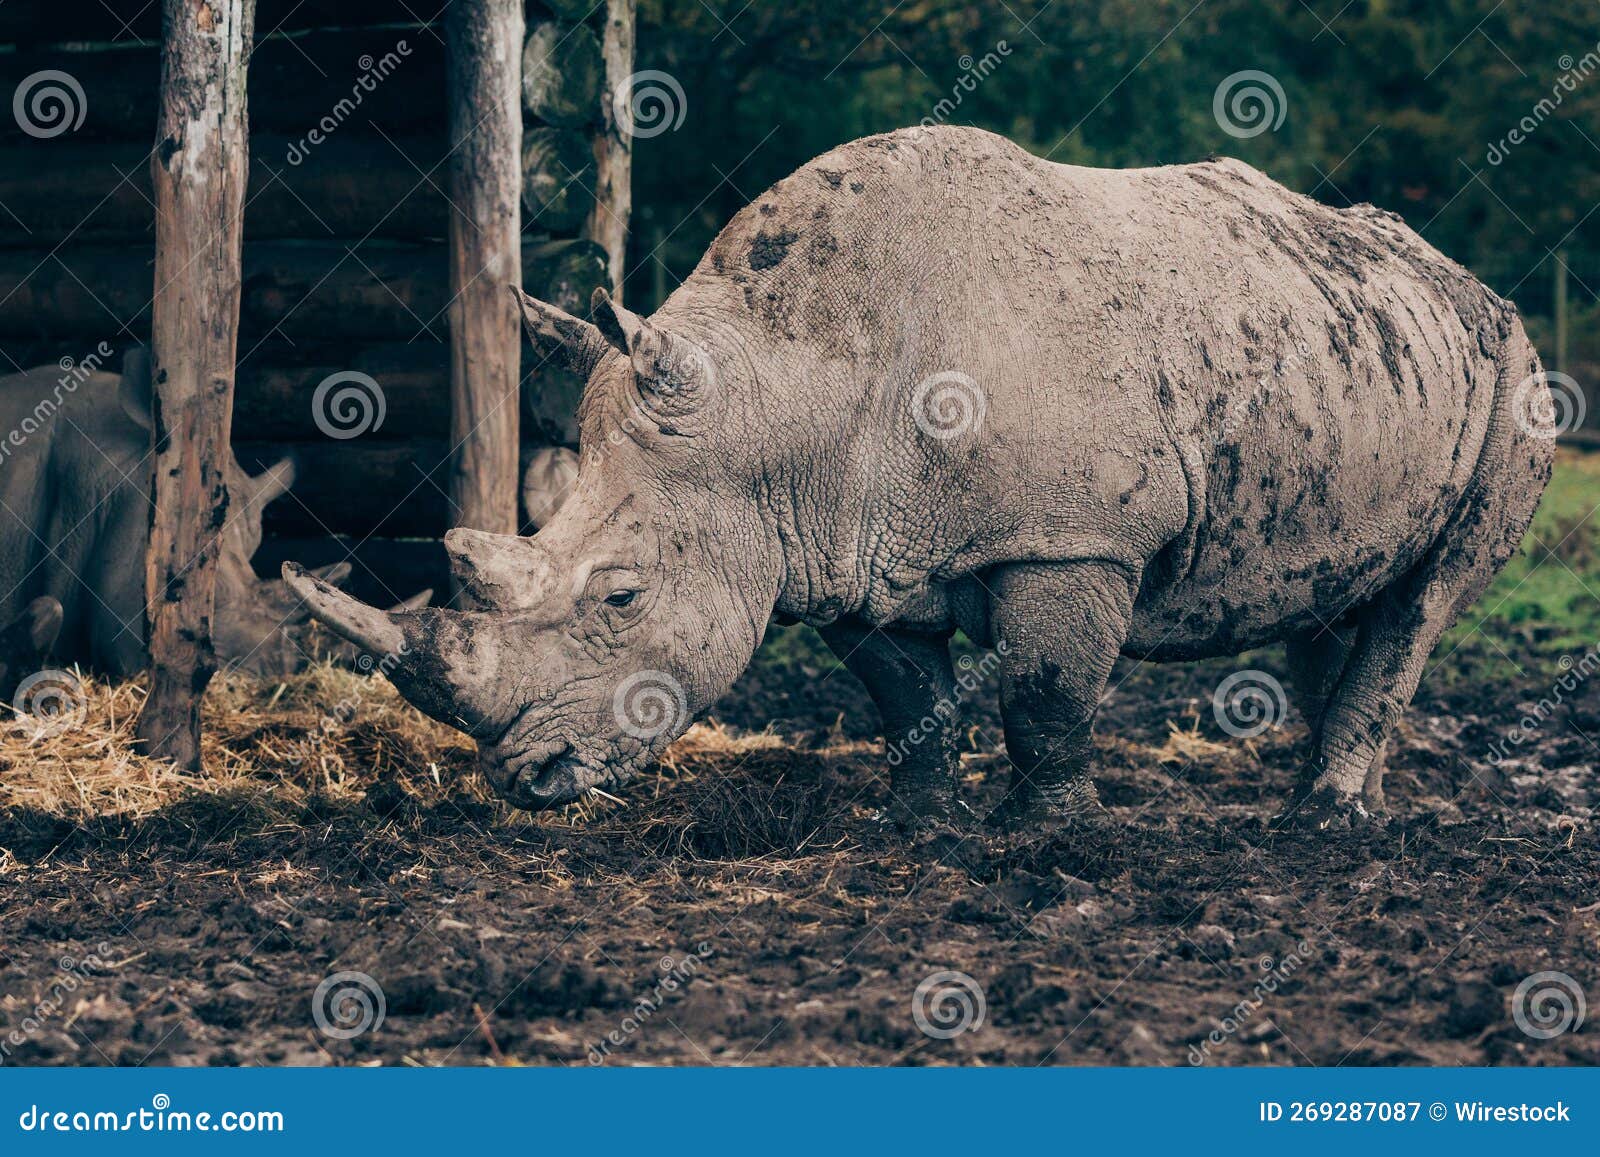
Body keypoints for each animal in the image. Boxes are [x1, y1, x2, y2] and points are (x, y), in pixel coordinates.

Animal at [288, 126, 1552, 831]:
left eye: (622, 596)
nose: (526, 778)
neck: (781, 394)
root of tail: (1459, 277)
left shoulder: (1071, 532)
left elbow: (1043, 689)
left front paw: (1051, 838)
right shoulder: (839, 540)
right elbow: (906, 695)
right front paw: (919, 826)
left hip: (1518, 378)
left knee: (1426, 596)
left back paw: (1324, 825)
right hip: (1365, 352)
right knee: (1340, 588)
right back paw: (1317, 804)